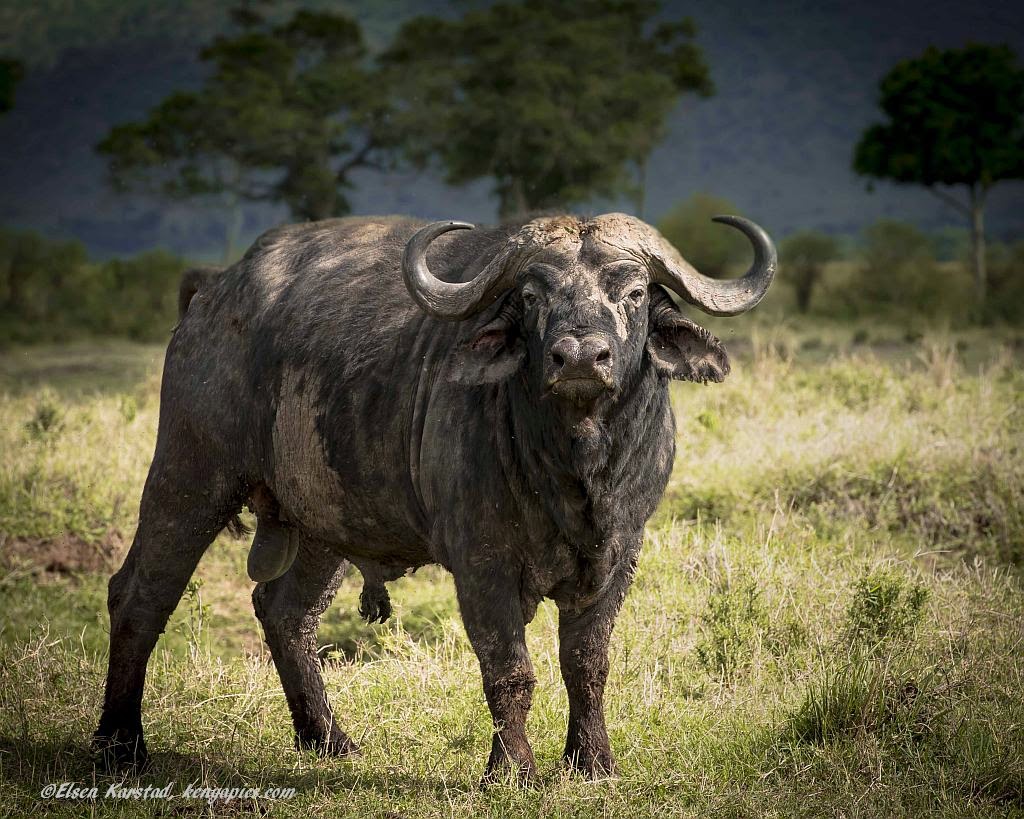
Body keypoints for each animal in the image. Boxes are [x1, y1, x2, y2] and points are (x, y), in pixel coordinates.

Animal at [93, 212, 775, 783]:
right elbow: (509, 671)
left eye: (632, 293)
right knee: (139, 595)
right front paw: (513, 771)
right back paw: (120, 745)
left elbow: (587, 664)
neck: (574, 470)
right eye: (533, 297)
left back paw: (327, 739)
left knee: (284, 610)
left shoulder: (618, 555)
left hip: (324, 521)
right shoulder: (481, 563)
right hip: (189, 474)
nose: (581, 357)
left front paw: (592, 762)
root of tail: (213, 295)